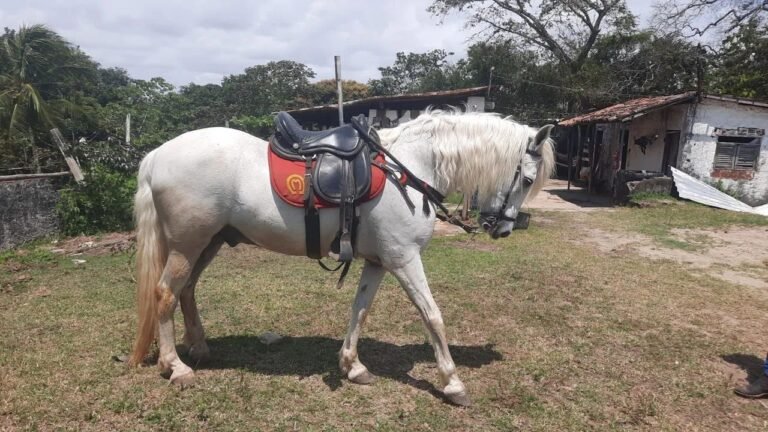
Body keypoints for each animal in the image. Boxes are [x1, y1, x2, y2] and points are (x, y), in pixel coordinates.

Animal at [127, 110, 555, 406]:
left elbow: (359, 310)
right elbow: (432, 316)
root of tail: (157, 155)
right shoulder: (404, 260)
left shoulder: (380, 262)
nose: (502, 228)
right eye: (527, 180)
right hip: (187, 245)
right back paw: (176, 367)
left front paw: (353, 365)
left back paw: (198, 348)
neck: (409, 168)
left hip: (209, 243)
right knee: (165, 294)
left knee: (186, 291)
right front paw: (453, 382)